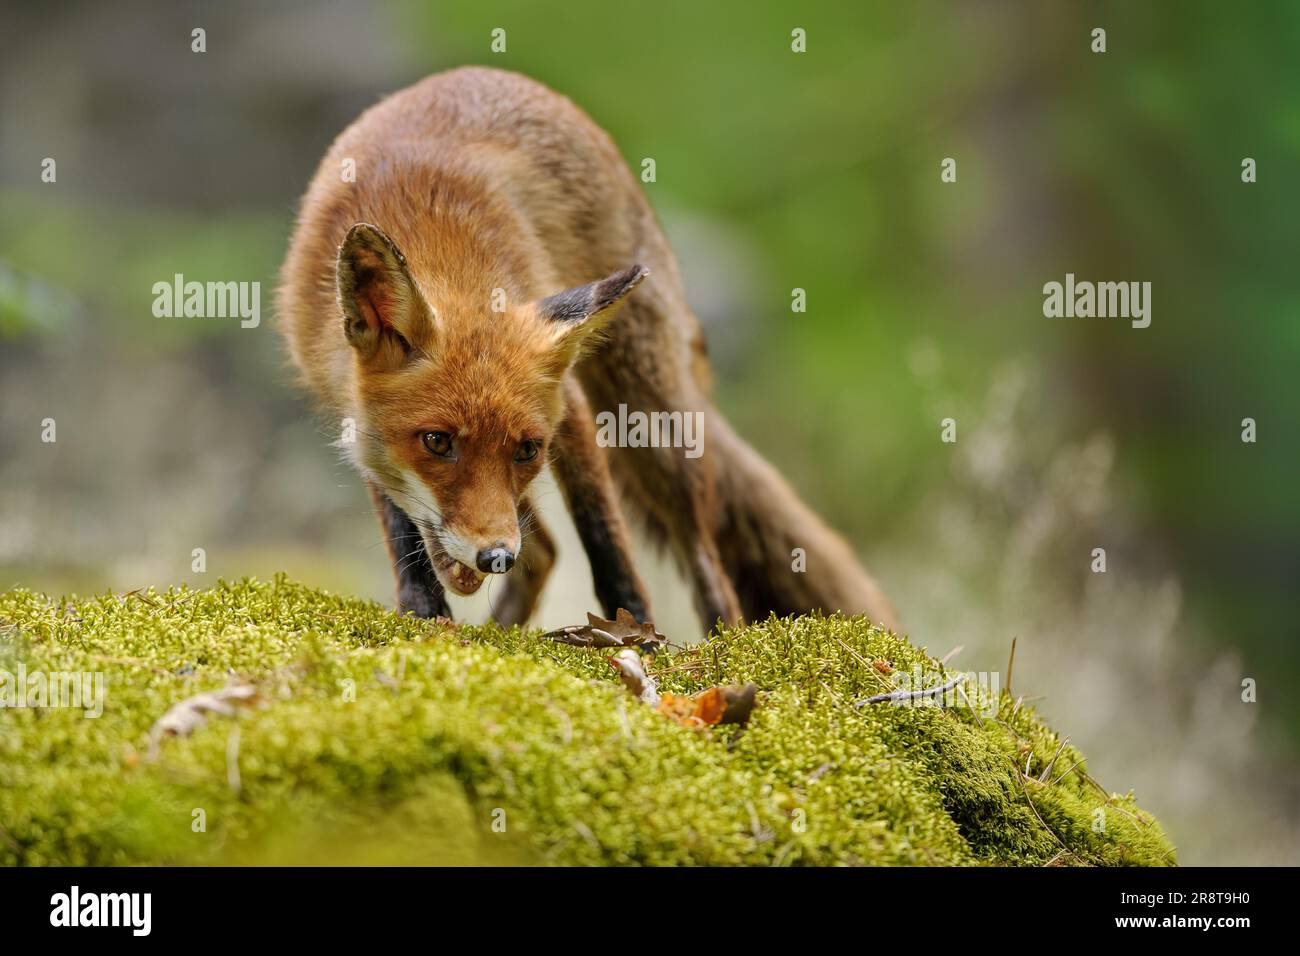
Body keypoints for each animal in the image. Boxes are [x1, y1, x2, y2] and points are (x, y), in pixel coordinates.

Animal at [277, 66, 896, 634]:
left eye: (527, 449)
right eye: (436, 442)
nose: (494, 556)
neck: (432, 241)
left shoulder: (568, 410)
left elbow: (604, 536)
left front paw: (635, 629)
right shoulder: (355, 412)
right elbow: (403, 527)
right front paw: (424, 614)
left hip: (654, 428)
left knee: (706, 565)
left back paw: (719, 643)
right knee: (545, 552)